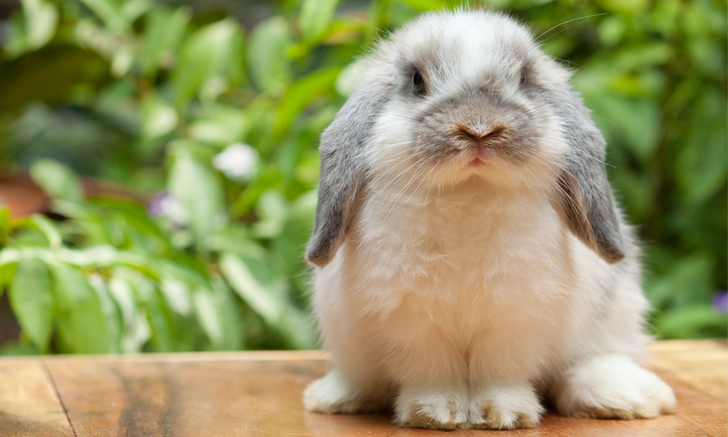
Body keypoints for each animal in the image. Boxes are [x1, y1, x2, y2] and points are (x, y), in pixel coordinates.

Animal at [302, 9, 676, 430]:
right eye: (417, 81)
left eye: (524, 78)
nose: (479, 128)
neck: (468, 193)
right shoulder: (412, 319)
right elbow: (432, 371)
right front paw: (435, 413)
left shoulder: (515, 314)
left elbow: (499, 371)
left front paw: (503, 414)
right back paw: (336, 397)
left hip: (615, 314)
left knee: (593, 361)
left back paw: (628, 397)